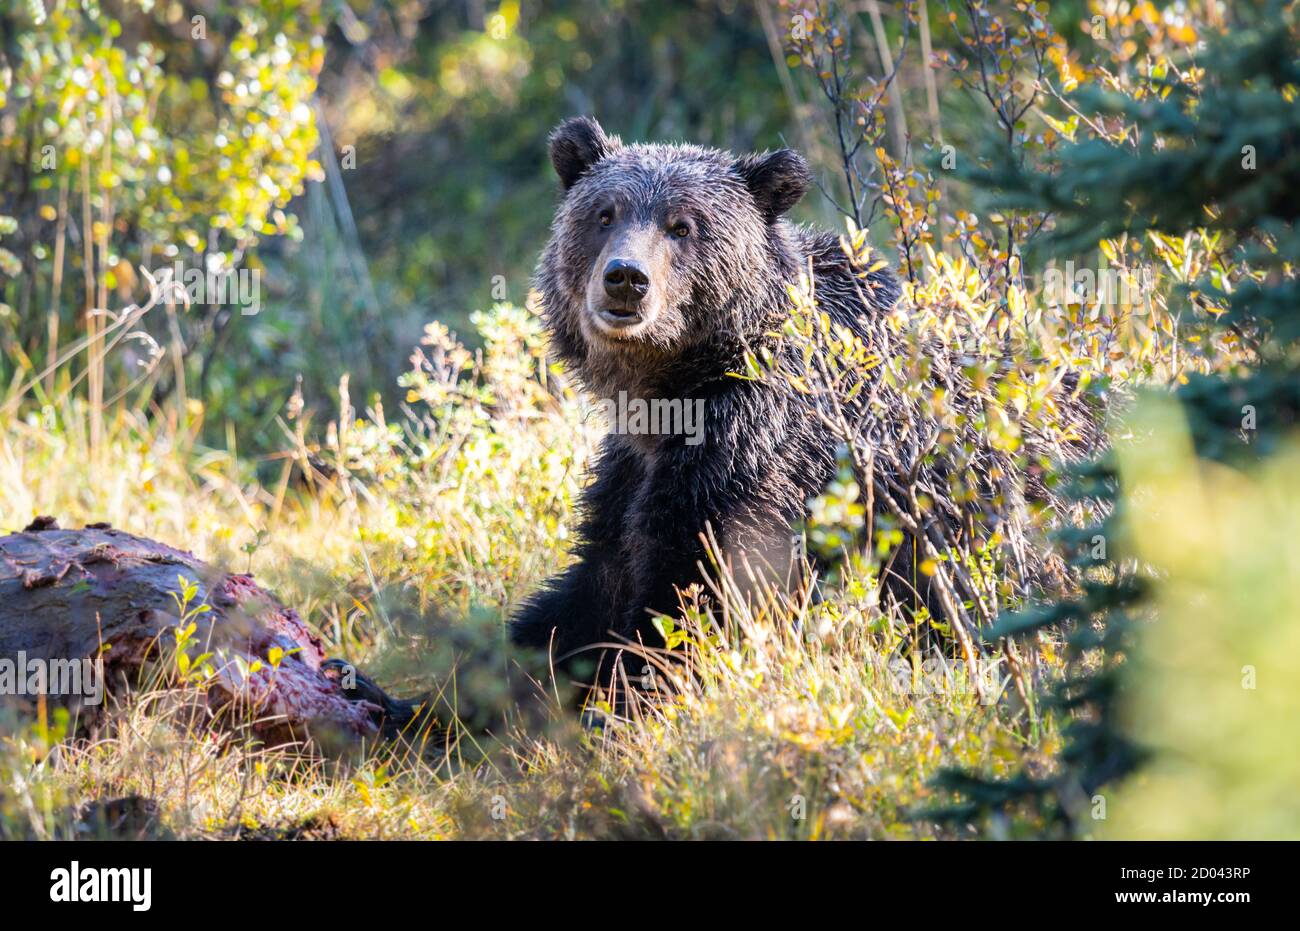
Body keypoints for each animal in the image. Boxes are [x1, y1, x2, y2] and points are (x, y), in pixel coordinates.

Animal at [509, 116, 902, 675]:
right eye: (604, 214)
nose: (625, 278)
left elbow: (691, 589)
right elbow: (592, 586)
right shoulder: (628, 468)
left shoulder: (754, 446)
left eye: (682, 226)